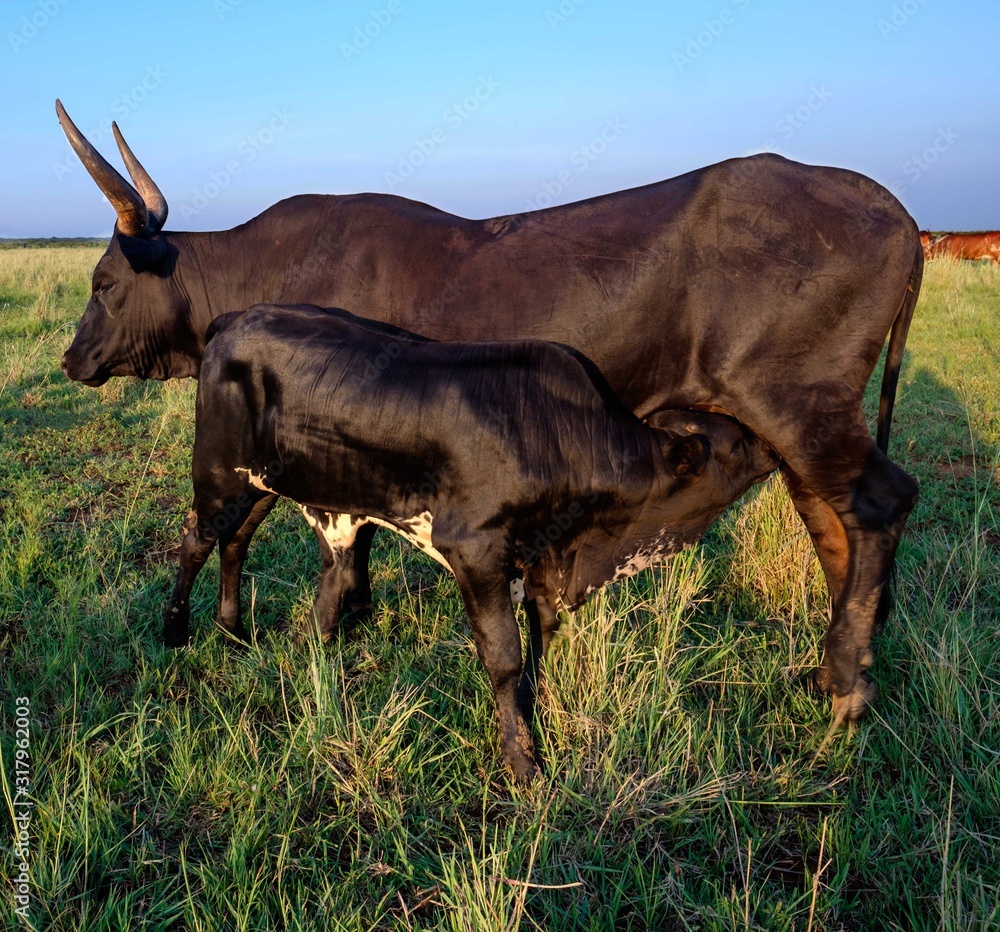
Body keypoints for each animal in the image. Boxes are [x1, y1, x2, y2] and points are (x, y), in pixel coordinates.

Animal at [56, 99, 921, 726]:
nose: (72, 359)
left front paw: (250, 624)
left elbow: (249, 528)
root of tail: (893, 210)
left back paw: (848, 684)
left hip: (799, 408)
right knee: (832, 523)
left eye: (104, 282)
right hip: (794, 424)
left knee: (878, 505)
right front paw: (299, 619)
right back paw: (844, 669)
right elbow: (276, 533)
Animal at [168, 303, 780, 780]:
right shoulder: (476, 550)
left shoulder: (538, 558)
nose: (774, 446)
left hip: (264, 484)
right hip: (218, 473)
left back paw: (232, 629)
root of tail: (237, 317)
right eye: (735, 441)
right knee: (196, 540)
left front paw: (537, 713)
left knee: (237, 542)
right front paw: (524, 763)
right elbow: (505, 655)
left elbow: (543, 639)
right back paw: (177, 631)